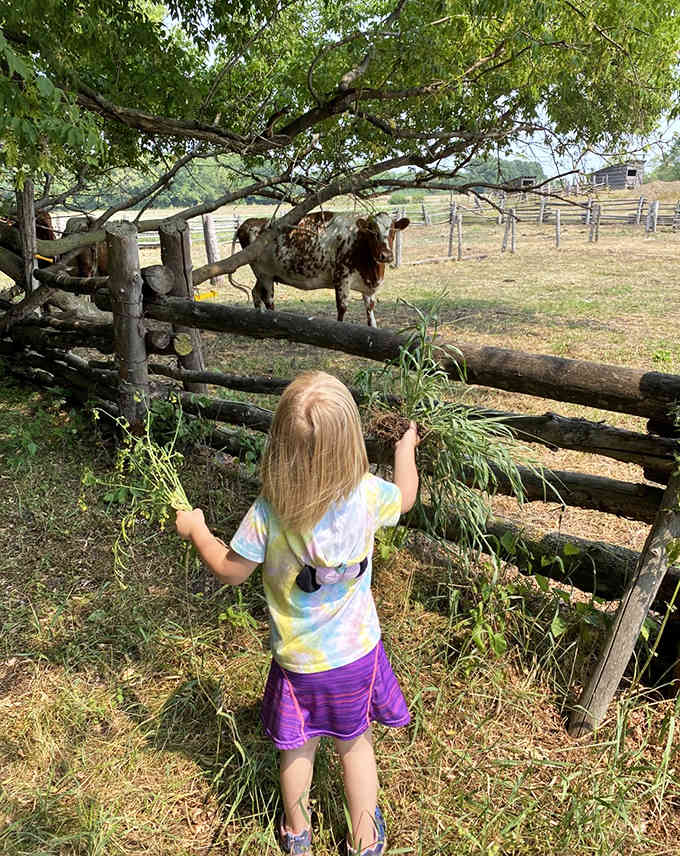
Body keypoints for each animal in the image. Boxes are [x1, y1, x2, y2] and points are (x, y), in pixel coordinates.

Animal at [233, 211, 410, 327]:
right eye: (372, 231)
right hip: (265, 275)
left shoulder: (367, 285)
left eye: (393, 230)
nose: (386, 255)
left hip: (263, 275)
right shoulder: (341, 277)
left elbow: (370, 309)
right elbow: (342, 307)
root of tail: (252, 222)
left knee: (256, 293)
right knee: (269, 300)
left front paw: (373, 329)